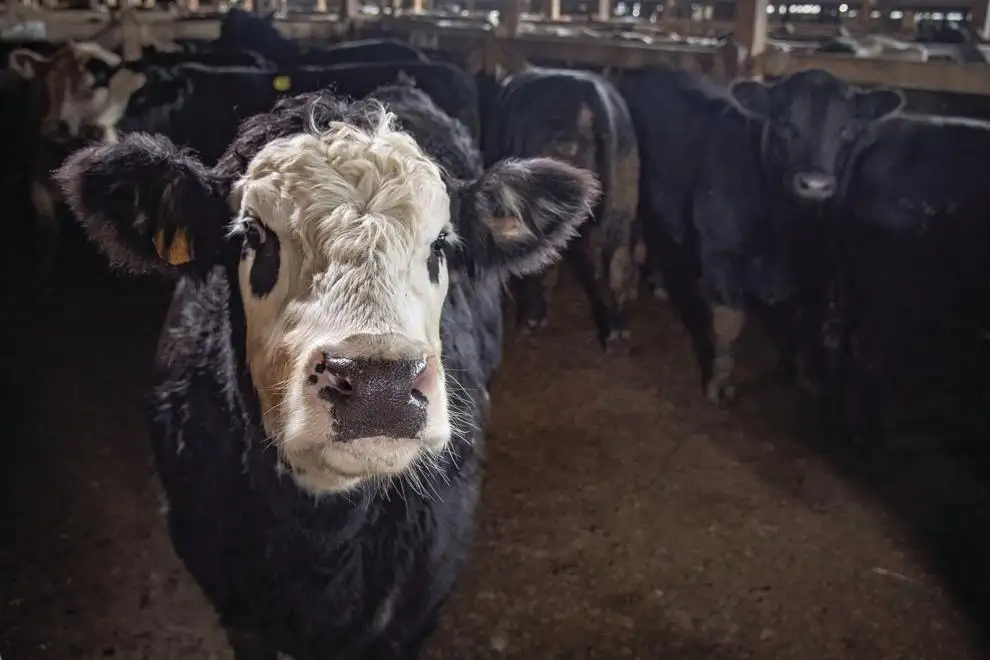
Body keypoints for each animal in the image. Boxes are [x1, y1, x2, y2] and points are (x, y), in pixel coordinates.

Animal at [618, 67, 904, 404]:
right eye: (784, 124)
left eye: (847, 131)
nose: (815, 184)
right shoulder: (720, 254)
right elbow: (728, 321)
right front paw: (719, 384)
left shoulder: (816, 265)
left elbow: (808, 320)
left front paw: (809, 378)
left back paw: (660, 283)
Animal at [823, 113, 990, 456]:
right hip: (891, 290)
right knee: (868, 351)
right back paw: (868, 443)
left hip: (847, 280)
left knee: (837, 339)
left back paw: (837, 432)